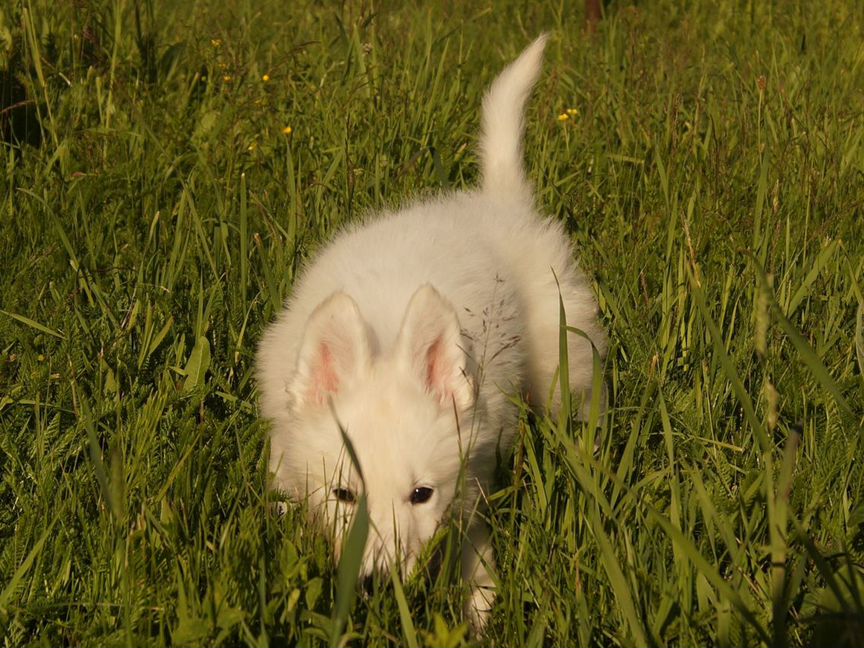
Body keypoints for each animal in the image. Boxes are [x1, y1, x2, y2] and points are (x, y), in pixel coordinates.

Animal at [256, 34, 608, 628]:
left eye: (420, 494)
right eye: (343, 495)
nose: (376, 584)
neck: (384, 322)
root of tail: (499, 202)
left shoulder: (470, 479)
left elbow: (474, 549)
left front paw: (480, 612)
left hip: (563, 365)